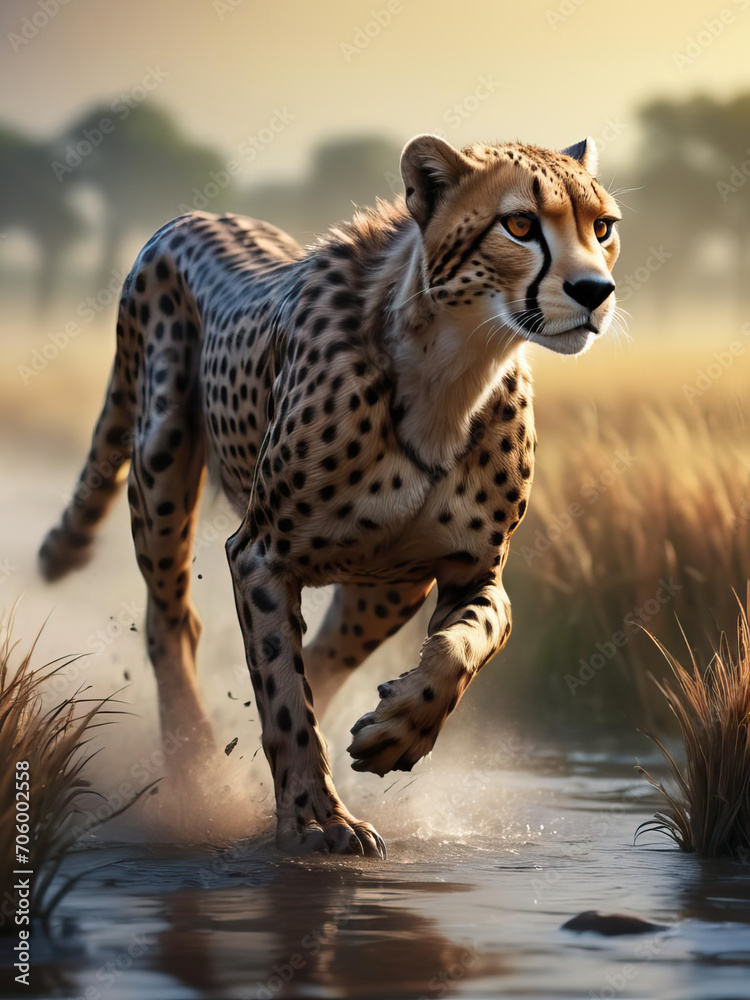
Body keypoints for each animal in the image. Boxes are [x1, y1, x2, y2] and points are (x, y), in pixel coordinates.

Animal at [39, 133, 621, 859]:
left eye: (603, 227)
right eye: (519, 224)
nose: (595, 291)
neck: (452, 370)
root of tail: (188, 218)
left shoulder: (471, 571)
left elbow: (469, 644)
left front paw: (398, 728)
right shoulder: (260, 554)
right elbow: (286, 695)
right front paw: (318, 818)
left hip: (387, 587)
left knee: (322, 653)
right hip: (162, 457)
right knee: (173, 623)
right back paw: (194, 764)